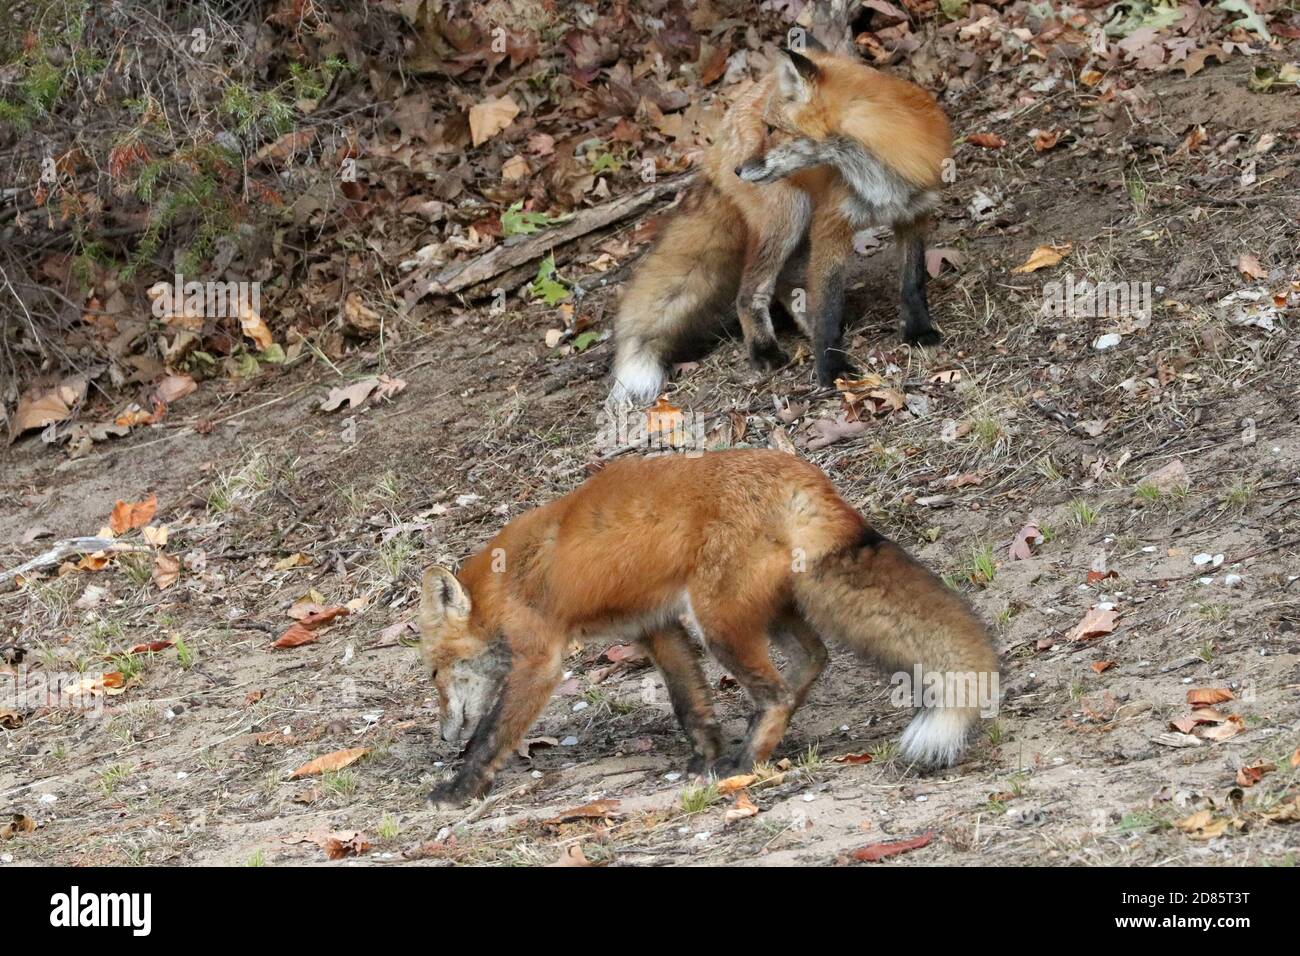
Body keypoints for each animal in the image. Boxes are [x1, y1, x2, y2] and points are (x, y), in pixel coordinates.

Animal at [418, 449, 998, 808]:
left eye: (433, 674)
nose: (443, 736)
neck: (503, 585)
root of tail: (802, 473)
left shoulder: (540, 663)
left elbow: (492, 733)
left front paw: (460, 787)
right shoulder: (658, 626)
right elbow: (690, 704)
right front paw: (706, 754)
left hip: (718, 621)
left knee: (778, 691)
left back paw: (745, 763)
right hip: (764, 612)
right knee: (813, 658)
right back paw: (754, 744)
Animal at [610, 48, 952, 403]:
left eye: (772, 129)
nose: (739, 169)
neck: (876, 172)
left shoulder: (914, 213)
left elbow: (912, 282)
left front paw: (919, 331)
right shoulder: (832, 224)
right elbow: (828, 307)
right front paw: (832, 368)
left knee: (787, 281)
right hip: (788, 218)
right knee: (750, 291)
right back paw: (764, 351)